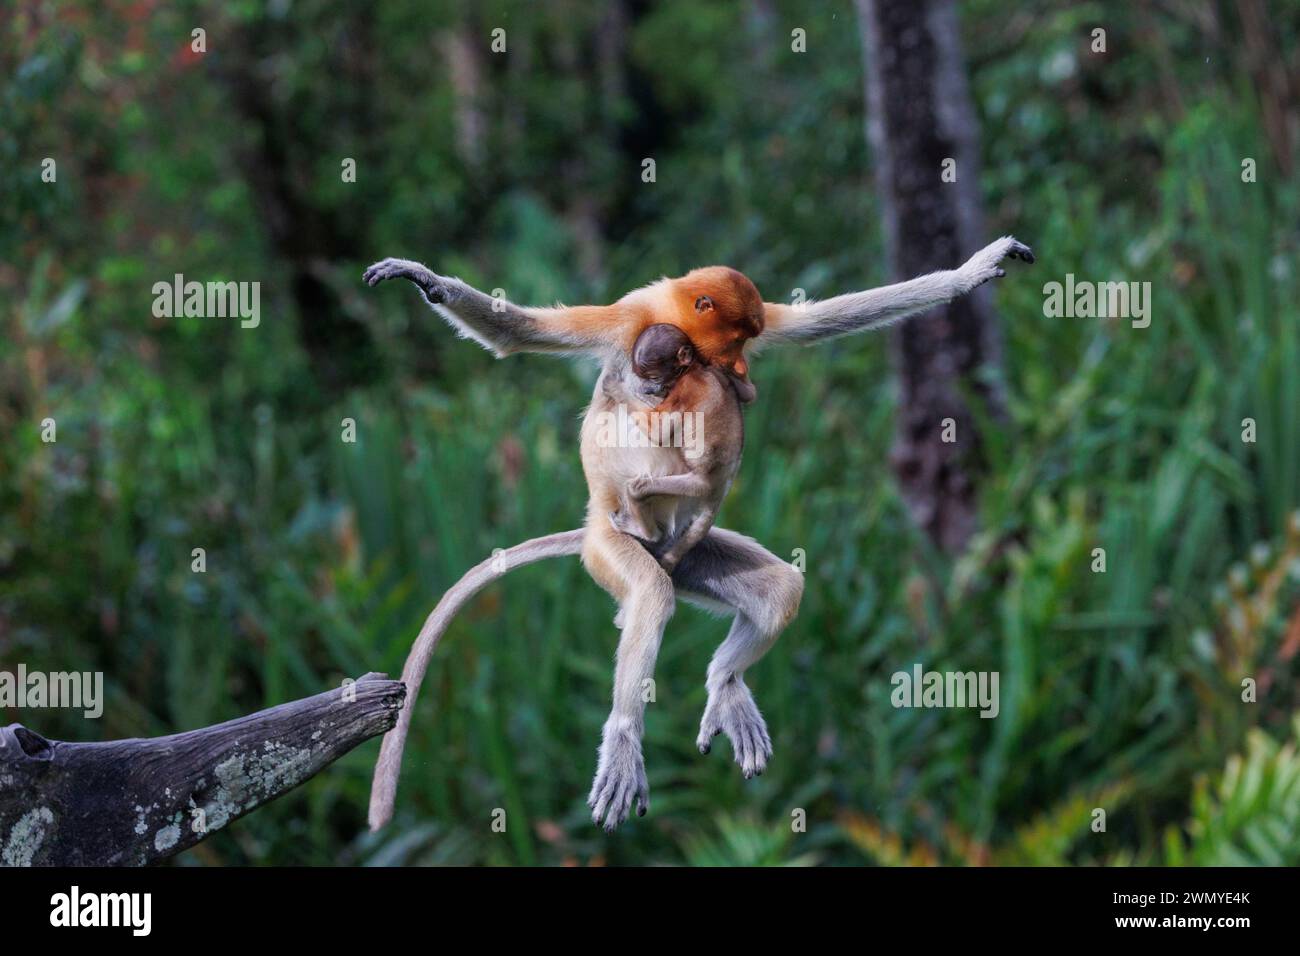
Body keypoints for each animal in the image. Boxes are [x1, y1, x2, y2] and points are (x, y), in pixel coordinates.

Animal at [362, 235, 1034, 832]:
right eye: (734, 337)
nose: (737, 365)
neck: (671, 317)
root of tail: (619, 534)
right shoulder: (626, 320)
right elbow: (519, 332)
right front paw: (422, 278)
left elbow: (813, 322)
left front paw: (972, 270)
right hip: (612, 550)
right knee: (649, 590)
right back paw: (628, 727)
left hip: (689, 556)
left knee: (777, 587)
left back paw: (724, 683)